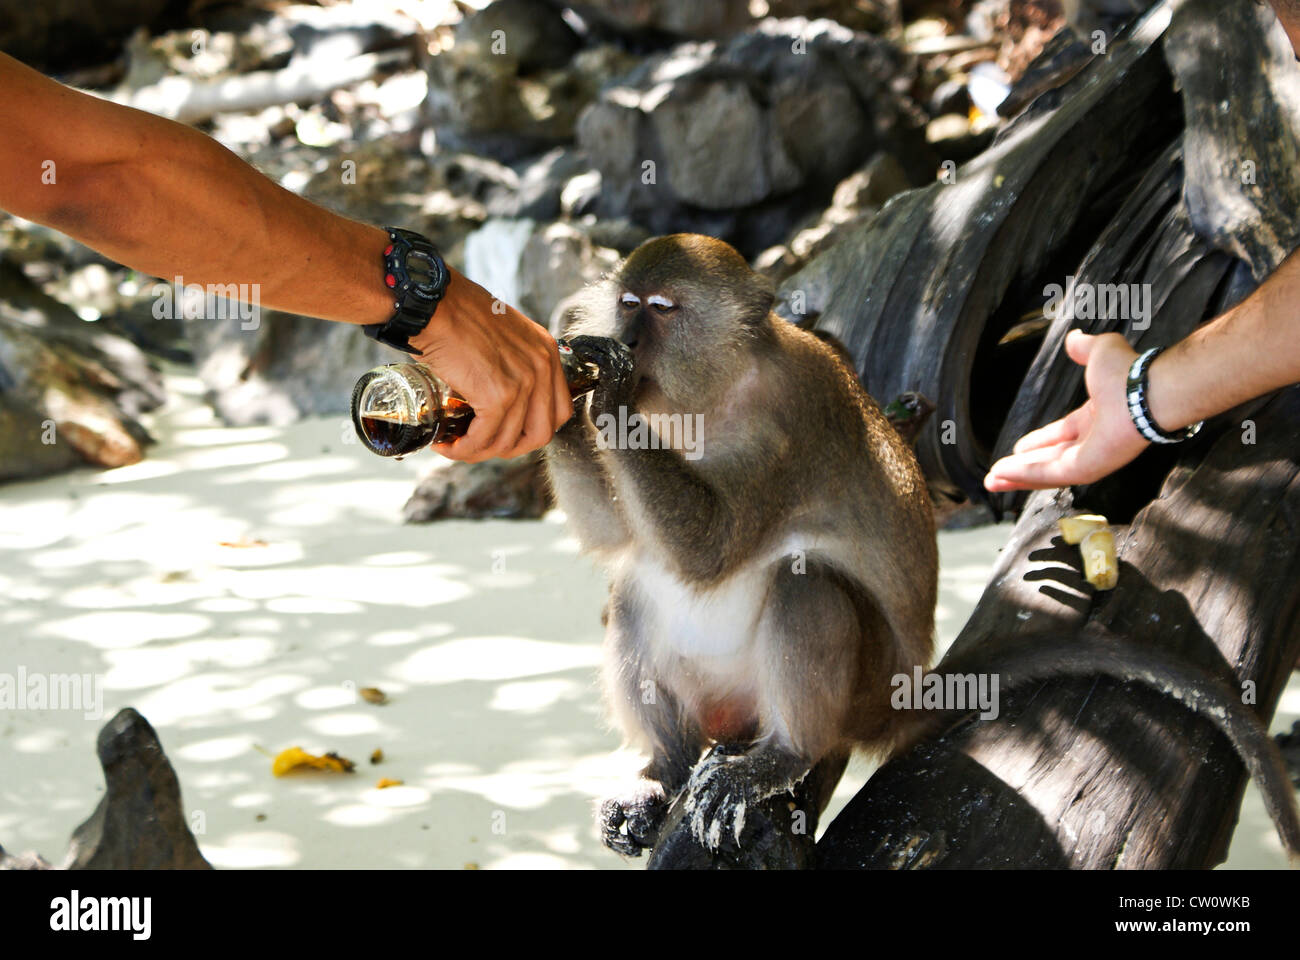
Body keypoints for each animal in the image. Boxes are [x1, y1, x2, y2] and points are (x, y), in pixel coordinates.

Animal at [544, 233, 939, 856]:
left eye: (662, 309)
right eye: (629, 303)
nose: (628, 341)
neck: (717, 387)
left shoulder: (786, 428)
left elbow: (711, 550)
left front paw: (608, 392)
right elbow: (615, 535)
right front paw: (557, 391)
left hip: (868, 693)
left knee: (806, 583)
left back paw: (783, 757)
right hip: (718, 700)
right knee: (631, 587)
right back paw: (667, 767)